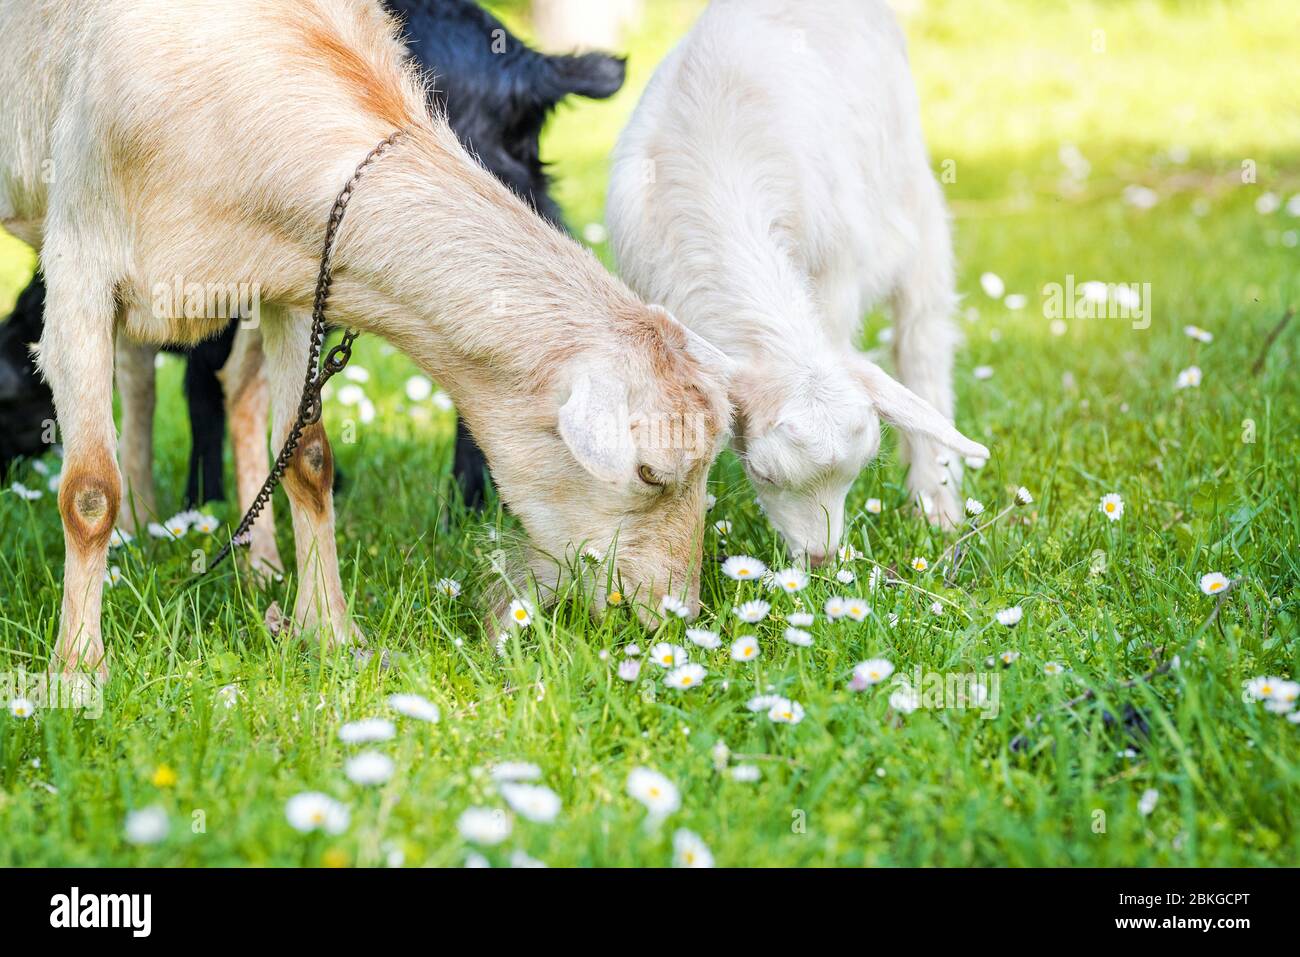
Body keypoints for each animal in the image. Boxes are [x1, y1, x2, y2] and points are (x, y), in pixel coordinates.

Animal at [0, 0, 731, 676]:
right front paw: (77, 671)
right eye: (649, 473)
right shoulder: (80, 265)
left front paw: (328, 633)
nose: (677, 613)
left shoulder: (297, 277)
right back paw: (137, 534)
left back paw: (238, 558)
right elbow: (88, 492)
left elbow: (307, 458)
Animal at [607, 0, 988, 564]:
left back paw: (935, 503)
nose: (822, 561)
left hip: (915, 206)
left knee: (922, 344)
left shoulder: (836, 276)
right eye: (764, 474)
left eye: (857, 472)